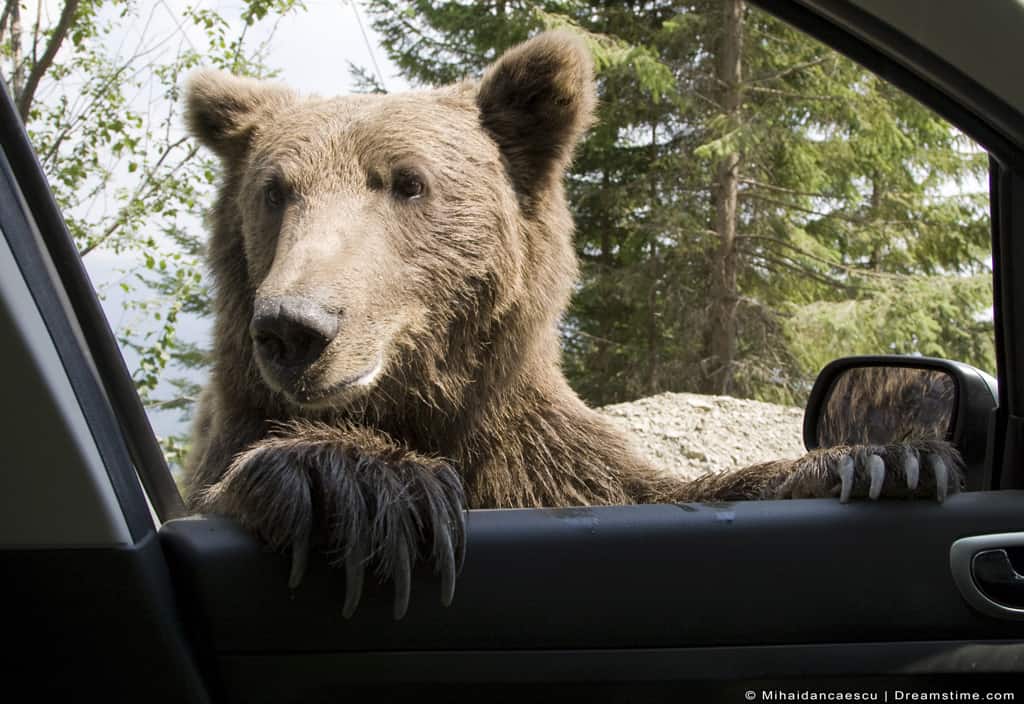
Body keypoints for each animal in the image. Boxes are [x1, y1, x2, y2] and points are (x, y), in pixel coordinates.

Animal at [181, 30, 962, 620]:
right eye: (275, 190)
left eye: (407, 182)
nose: (296, 326)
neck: (420, 405)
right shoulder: (237, 432)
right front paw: (358, 480)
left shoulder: (539, 459)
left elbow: (656, 490)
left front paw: (880, 459)